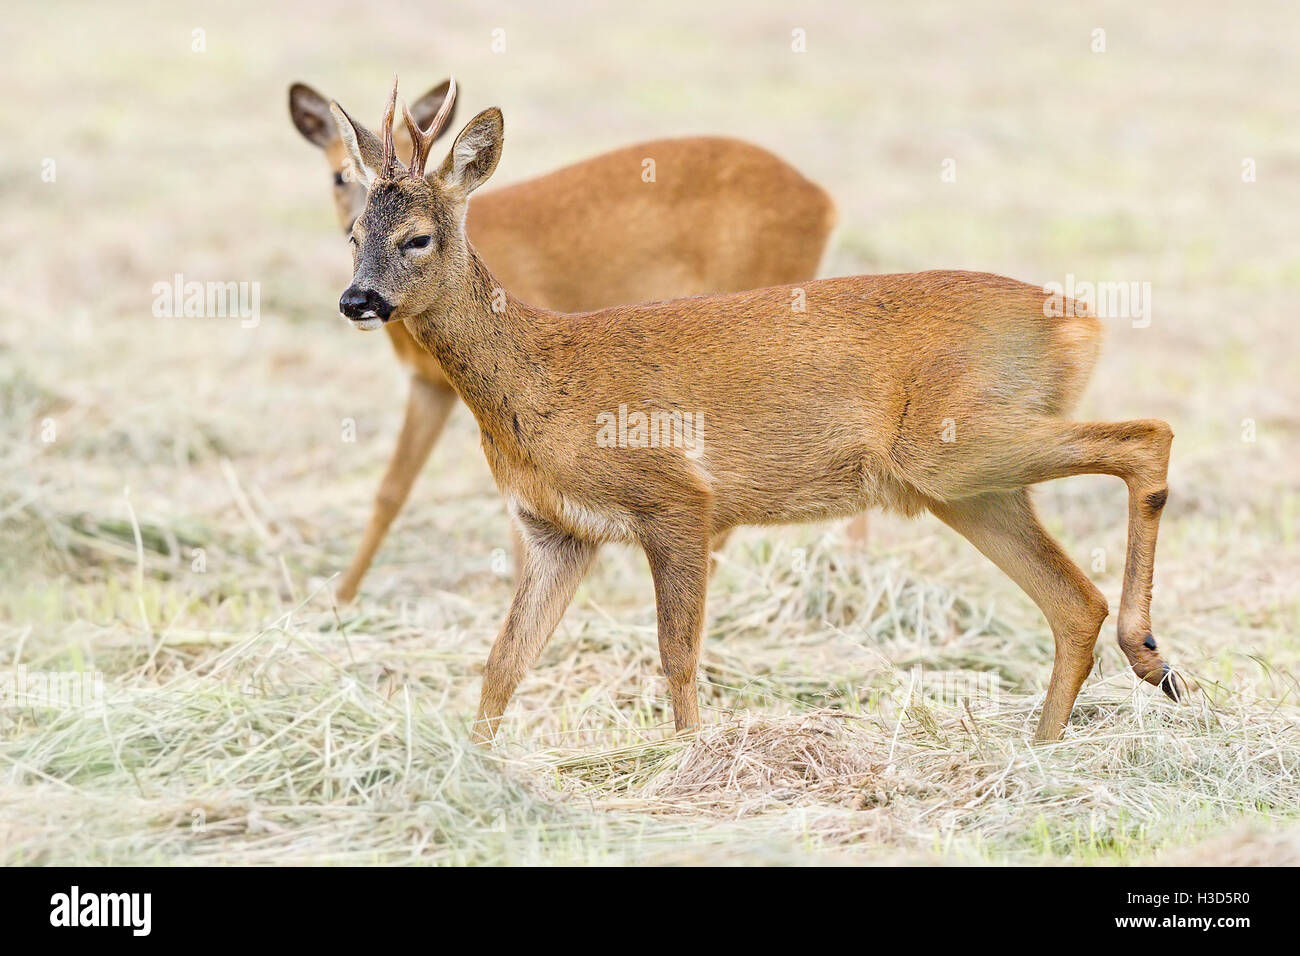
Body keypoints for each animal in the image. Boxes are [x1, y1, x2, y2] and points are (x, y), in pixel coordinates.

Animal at [290, 79, 856, 602]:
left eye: (418, 237)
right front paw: (341, 596)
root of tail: (824, 199)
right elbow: (392, 488)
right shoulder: (428, 385)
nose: (356, 300)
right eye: (356, 235)